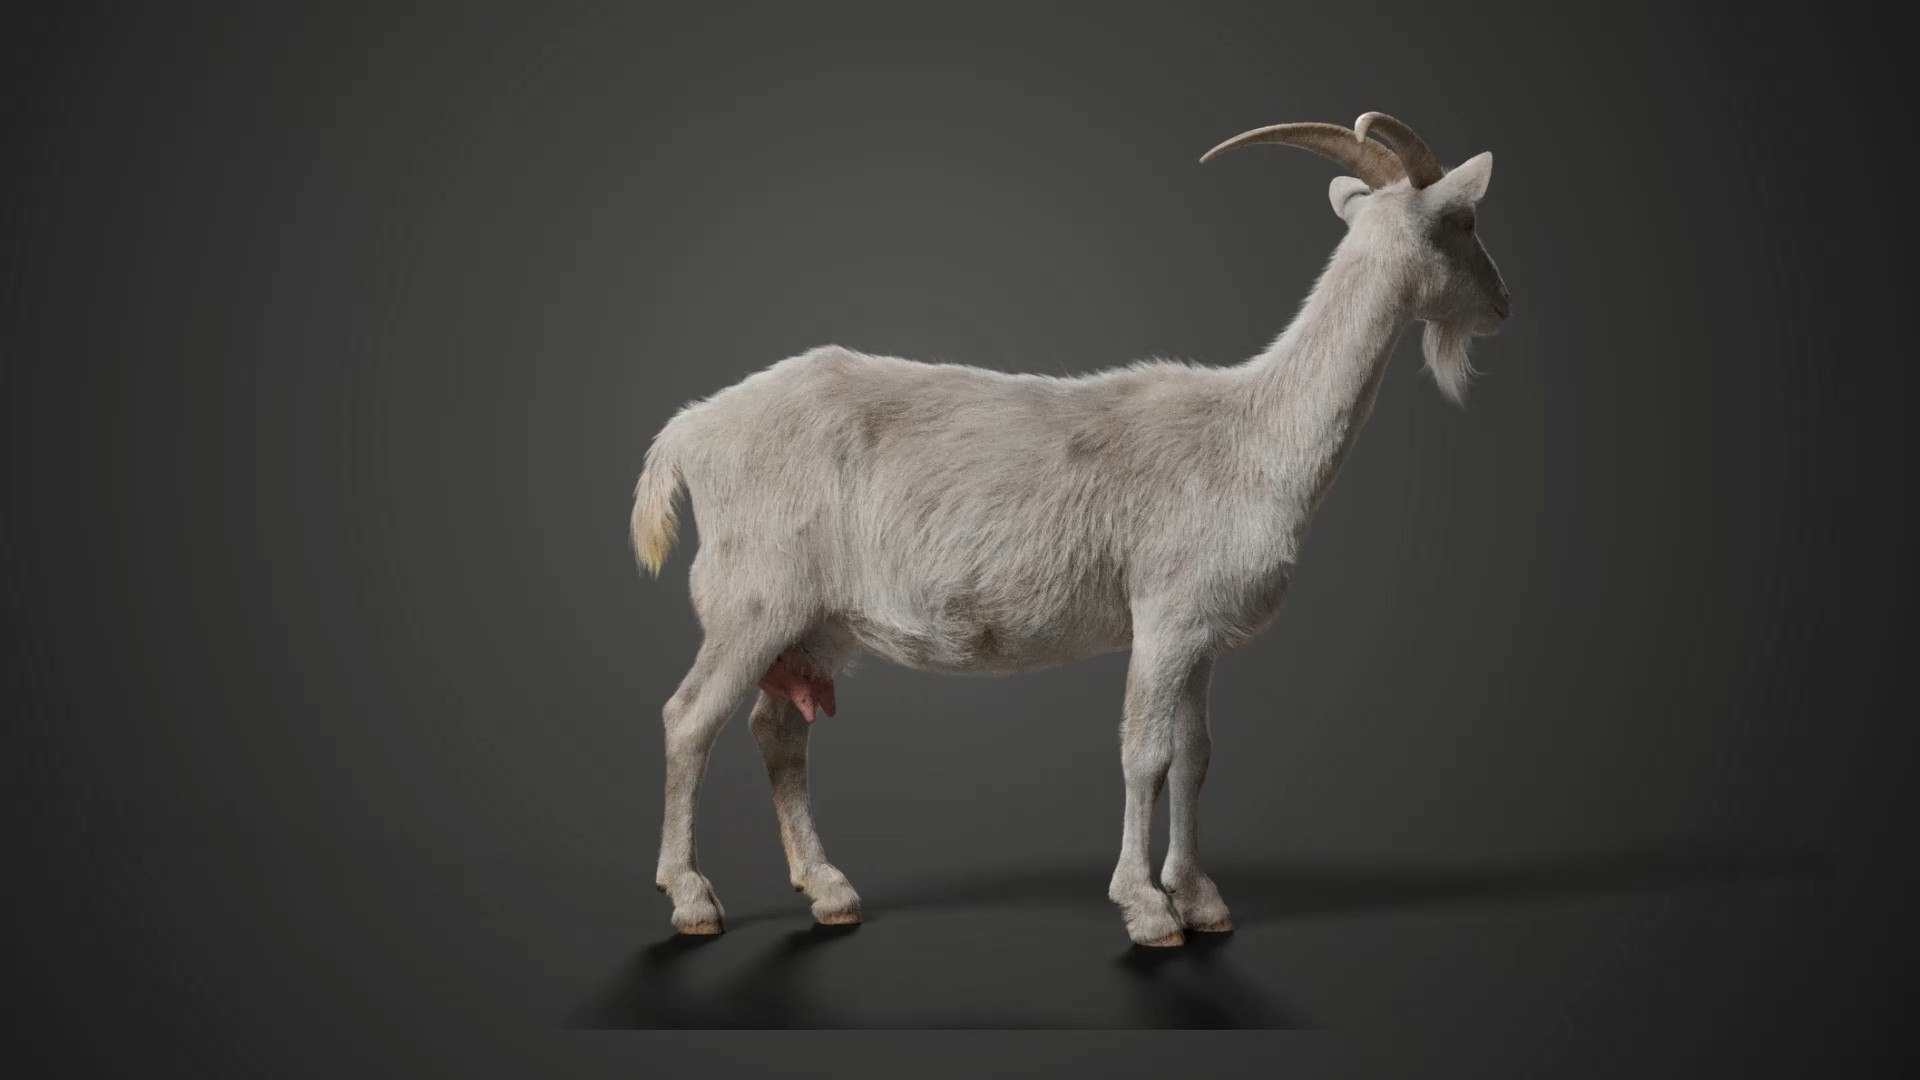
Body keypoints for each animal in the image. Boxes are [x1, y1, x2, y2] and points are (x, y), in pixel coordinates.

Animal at [630, 112, 1511, 946]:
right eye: (1465, 220)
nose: (1504, 306)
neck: (1251, 433)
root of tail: (688, 433)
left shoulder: (1197, 632)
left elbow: (1195, 757)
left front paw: (1200, 900)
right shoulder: (1164, 617)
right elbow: (1144, 754)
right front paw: (1148, 909)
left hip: (813, 621)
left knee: (777, 730)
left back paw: (829, 890)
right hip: (753, 598)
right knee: (689, 719)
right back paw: (693, 899)